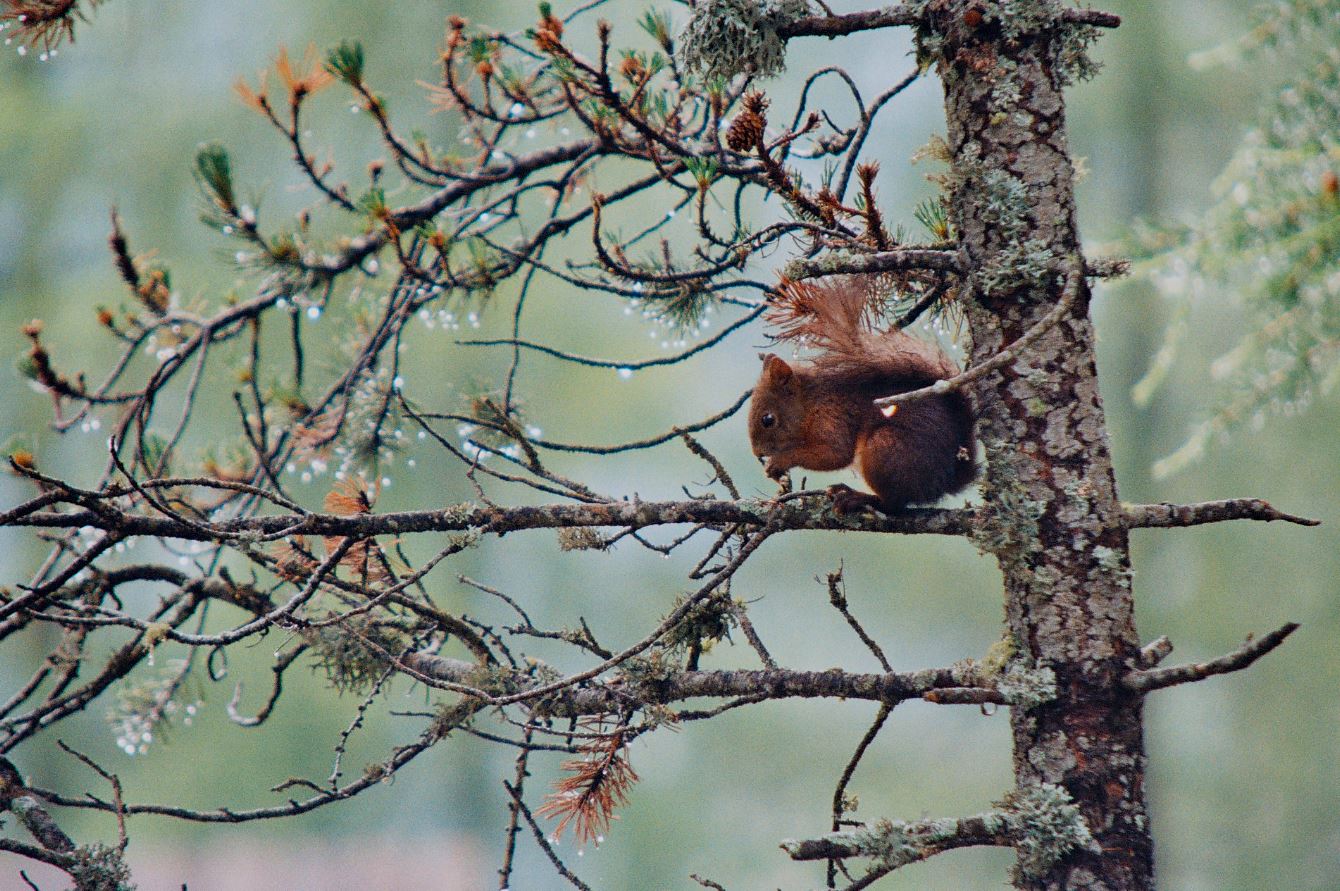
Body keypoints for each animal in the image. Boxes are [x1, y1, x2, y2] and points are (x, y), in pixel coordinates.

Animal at [747, 276, 977, 513]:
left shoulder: (833, 417)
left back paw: (856, 497)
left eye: (768, 419)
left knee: (893, 504)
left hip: (885, 448)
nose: (757, 453)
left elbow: (835, 454)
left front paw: (780, 461)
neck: (811, 403)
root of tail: (949, 479)